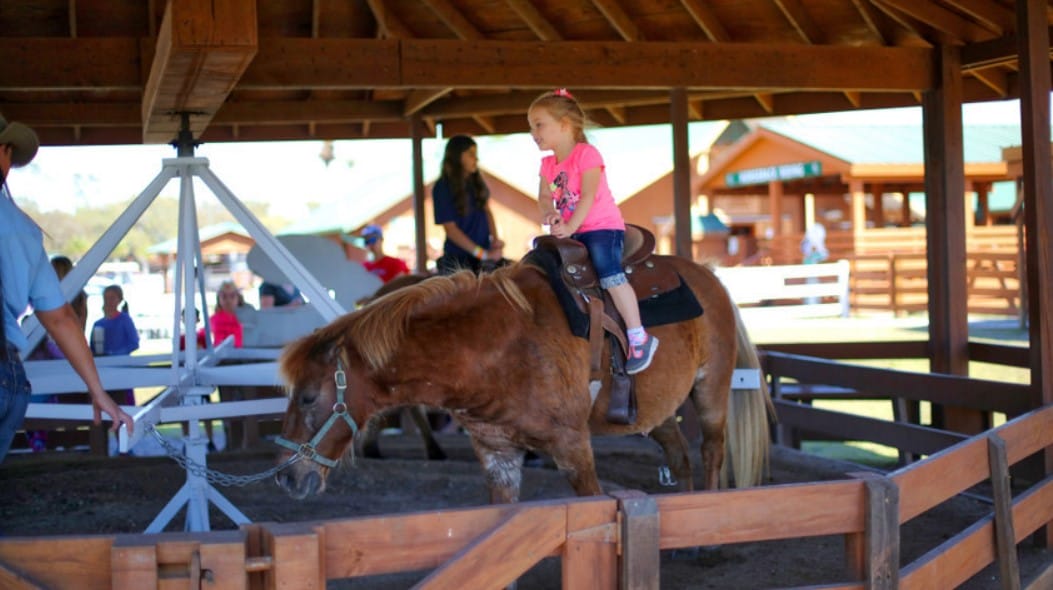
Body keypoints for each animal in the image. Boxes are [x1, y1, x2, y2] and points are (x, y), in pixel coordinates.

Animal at [274, 254, 774, 503]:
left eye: (309, 397)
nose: (288, 478)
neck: (499, 349)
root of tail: (710, 277)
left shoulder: (574, 450)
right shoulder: (497, 455)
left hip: (711, 389)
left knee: (711, 452)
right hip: (654, 410)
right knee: (680, 456)